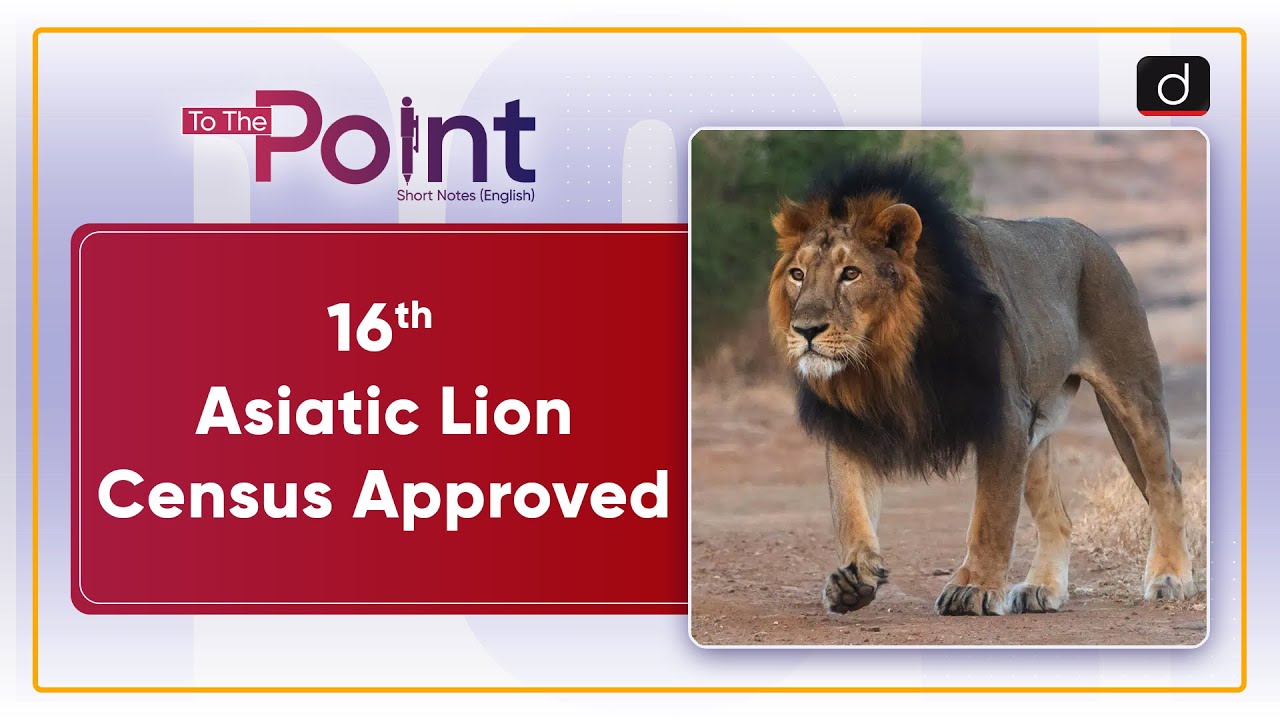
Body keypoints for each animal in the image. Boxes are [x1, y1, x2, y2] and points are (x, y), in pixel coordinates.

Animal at [767, 159, 1195, 616]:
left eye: (850, 274)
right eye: (797, 275)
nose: (804, 330)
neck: (885, 358)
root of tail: (1094, 237)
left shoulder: (1004, 417)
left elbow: (991, 517)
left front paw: (974, 587)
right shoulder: (850, 422)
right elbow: (849, 507)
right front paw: (853, 578)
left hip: (1132, 390)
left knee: (1166, 482)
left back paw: (1170, 577)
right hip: (1037, 427)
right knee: (1059, 516)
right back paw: (1041, 588)